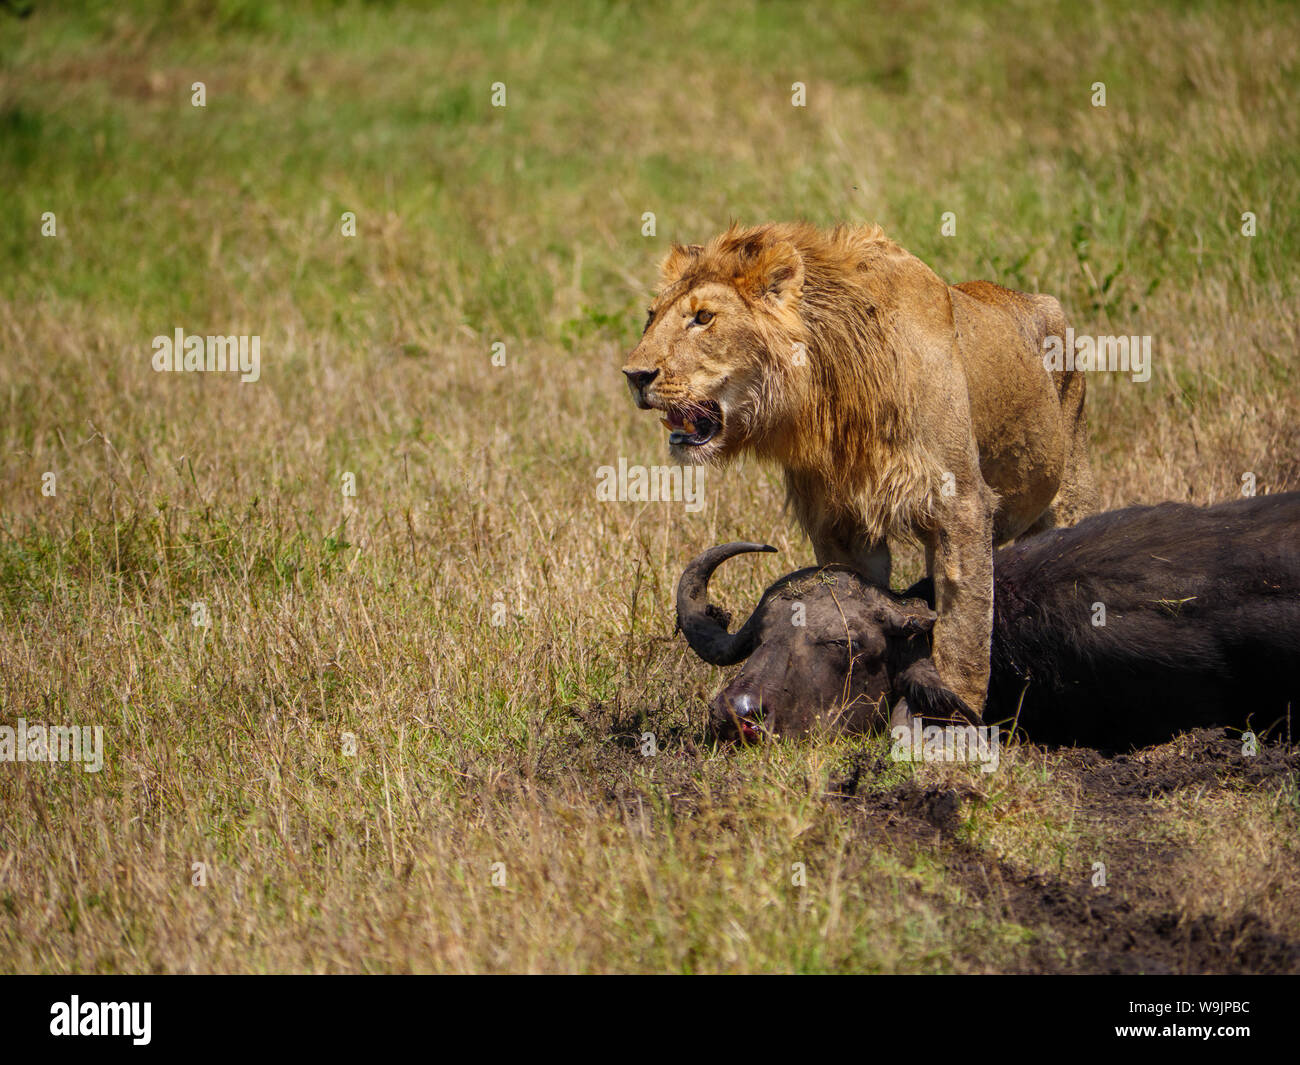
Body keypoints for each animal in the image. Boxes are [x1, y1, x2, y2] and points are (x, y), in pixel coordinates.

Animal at [622, 222, 1096, 716]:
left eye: (703, 318)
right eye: (651, 316)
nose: (634, 375)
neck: (830, 388)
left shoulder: (961, 506)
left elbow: (962, 636)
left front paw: (952, 717)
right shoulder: (839, 525)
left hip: (1071, 482)